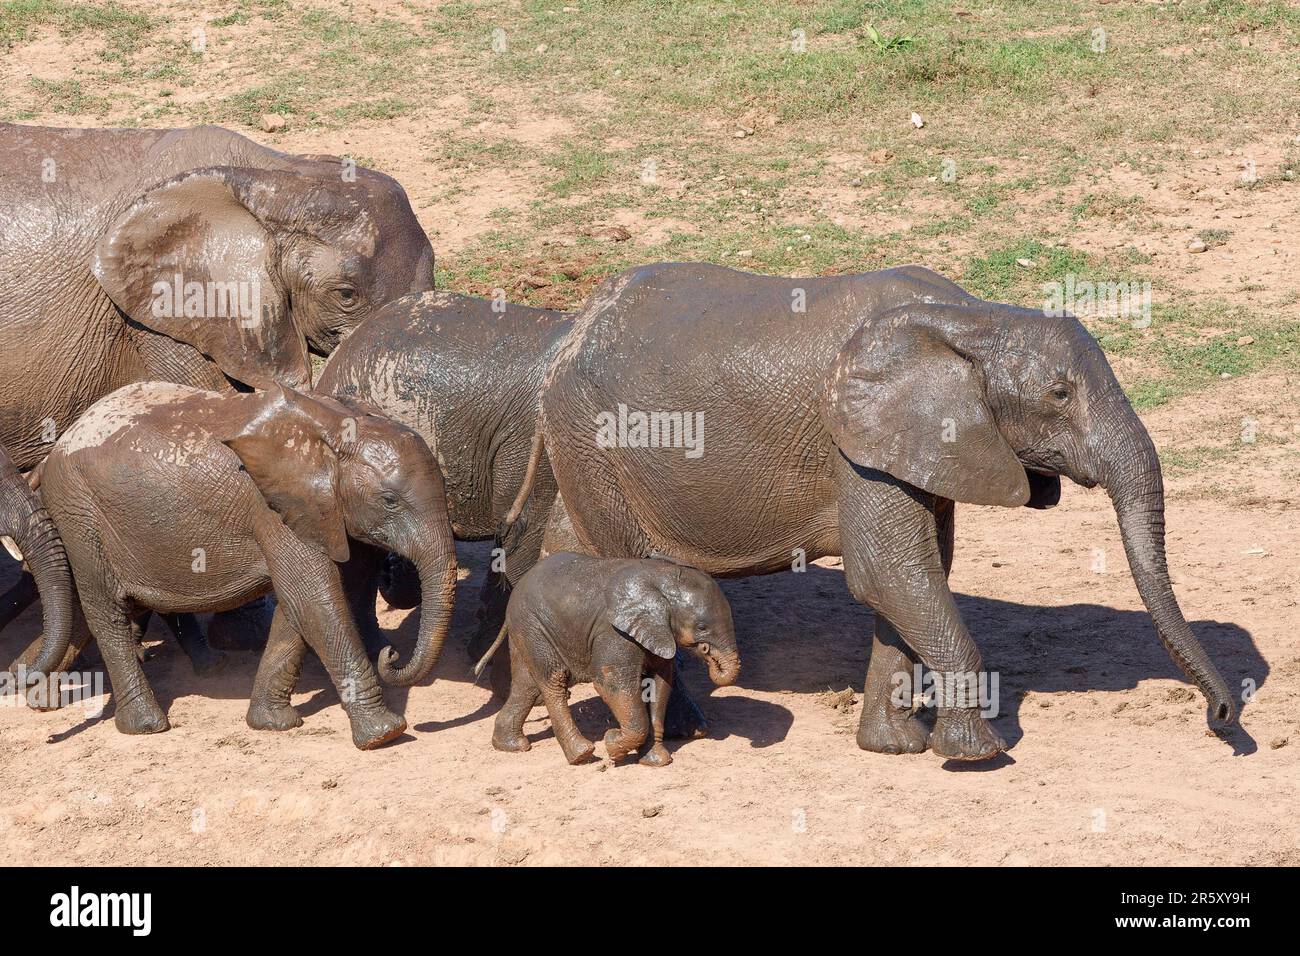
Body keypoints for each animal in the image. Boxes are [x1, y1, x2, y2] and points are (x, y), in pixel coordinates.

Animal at [27, 381, 457, 749]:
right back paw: (146, 725)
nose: (392, 656)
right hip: (79, 514)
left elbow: (297, 609)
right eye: (390, 501)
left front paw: (272, 723)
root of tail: (58, 446)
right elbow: (315, 600)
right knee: (106, 611)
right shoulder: (273, 510)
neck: (336, 425)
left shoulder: (321, 513)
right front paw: (384, 734)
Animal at [476, 552, 740, 766]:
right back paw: (581, 754)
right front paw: (612, 745)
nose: (709, 655)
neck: (660, 578)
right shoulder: (613, 633)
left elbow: (659, 684)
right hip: (533, 623)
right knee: (554, 679)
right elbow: (611, 683)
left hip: (526, 628)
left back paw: (511, 745)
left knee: (526, 684)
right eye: (702, 627)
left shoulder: (661, 634)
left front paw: (655, 761)